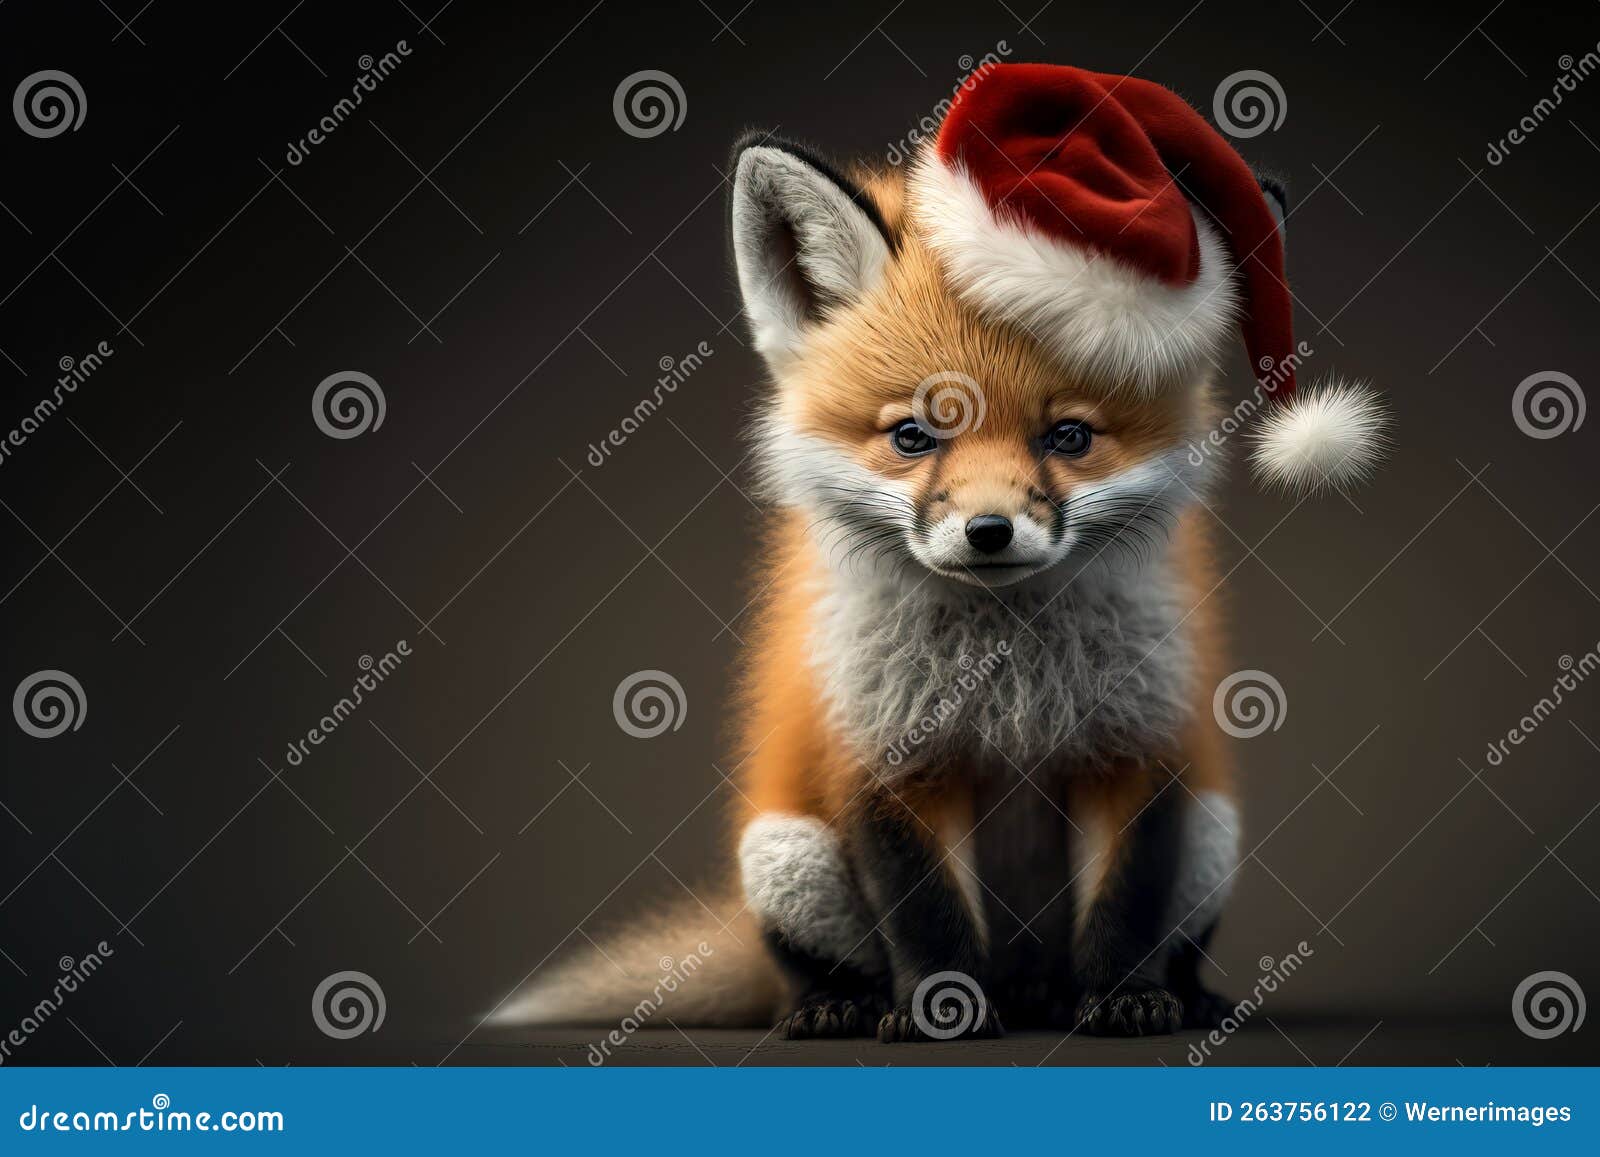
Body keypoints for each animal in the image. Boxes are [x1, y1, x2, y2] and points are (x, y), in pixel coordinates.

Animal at [495, 63, 1384, 1043]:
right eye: (914, 434)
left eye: (1070, 437)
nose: (989, 531)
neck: (1009, 684)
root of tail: (1032, 981)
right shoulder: (886, 759)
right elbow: (926, 909)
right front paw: (939, 1011)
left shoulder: (1140, 749)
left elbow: (1125, 902)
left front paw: (1123, 998)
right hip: (784, 849)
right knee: (807, 965)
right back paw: (836, 1004)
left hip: (1214, 832)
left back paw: (1159, 995)